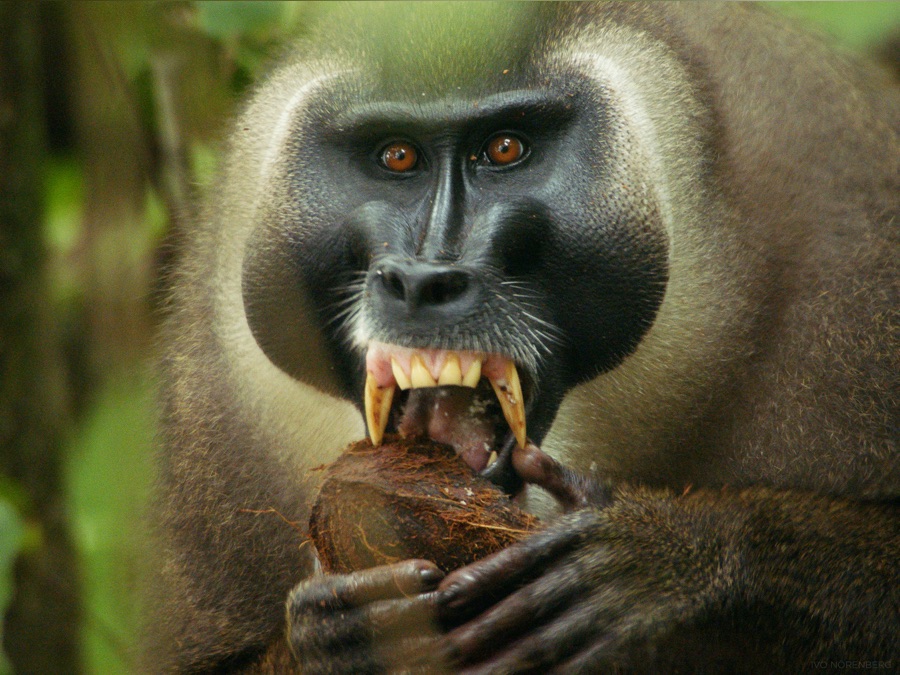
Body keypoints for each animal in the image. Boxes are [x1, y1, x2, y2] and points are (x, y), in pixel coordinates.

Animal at [148, 2, 899, 673]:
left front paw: (659, 564)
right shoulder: (210, 403)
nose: (423, 279)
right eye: (397, 156)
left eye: (505, 148)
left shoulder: (847, 242)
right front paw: (340, 639)